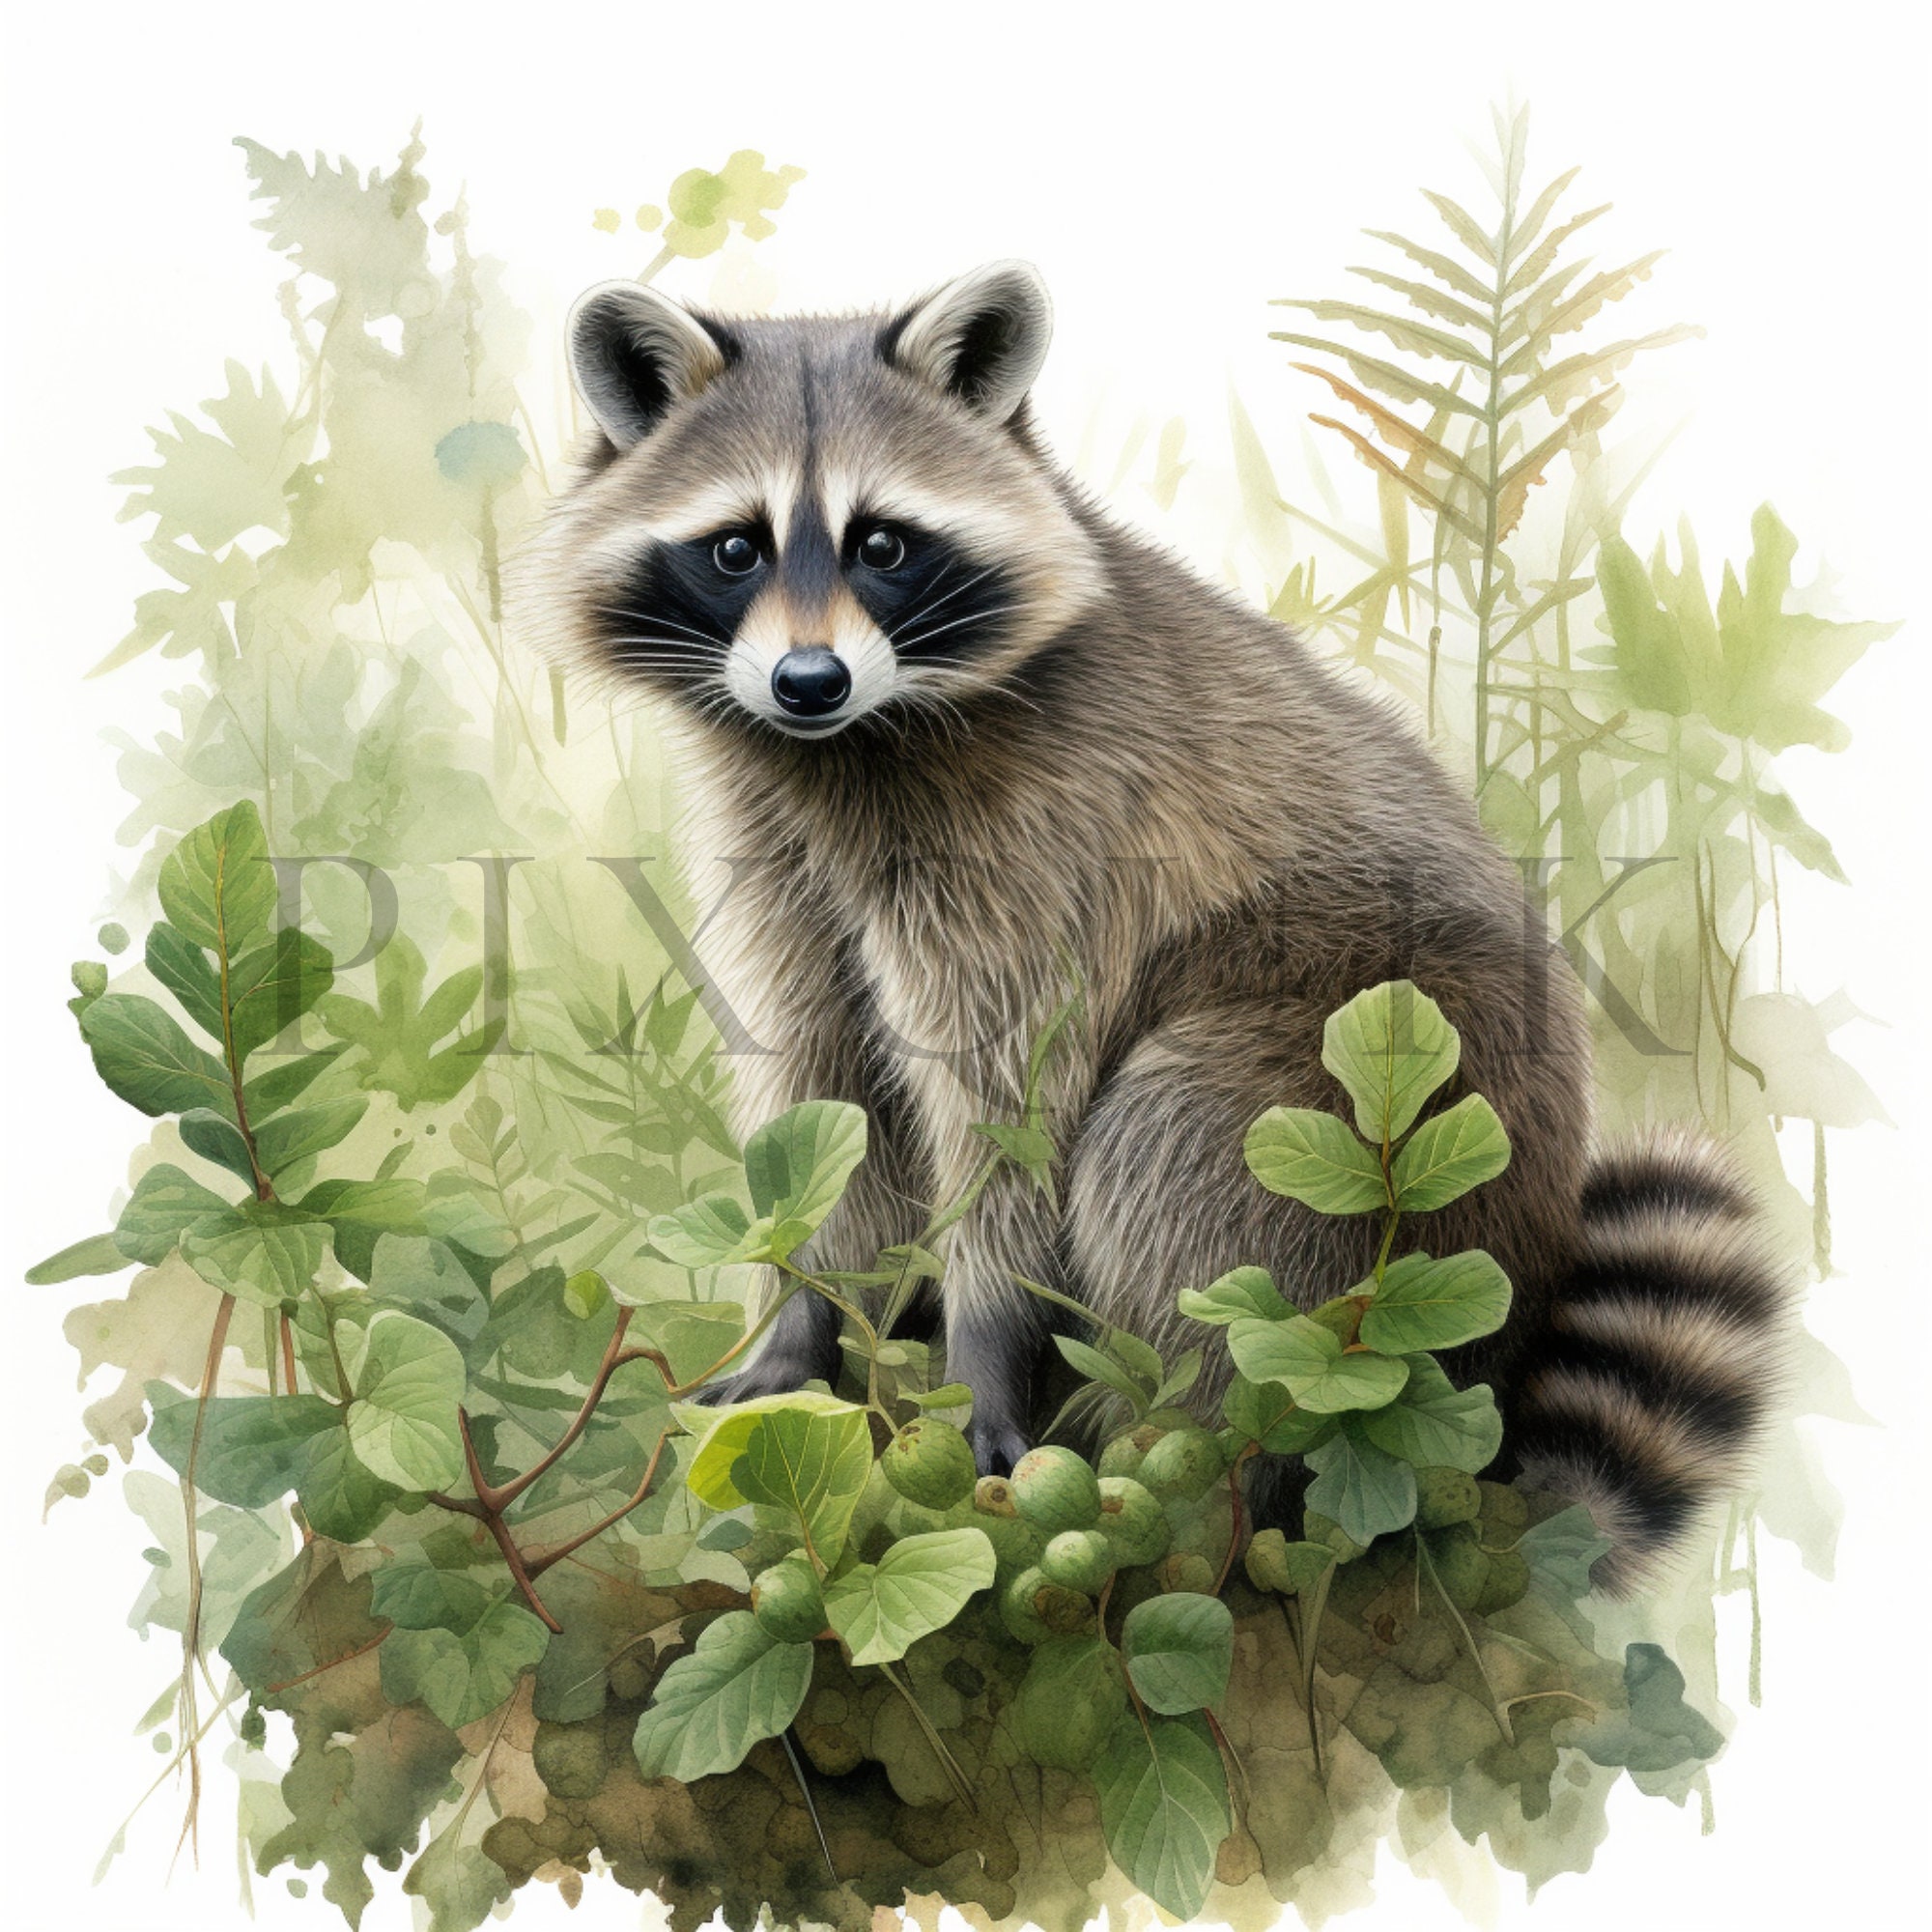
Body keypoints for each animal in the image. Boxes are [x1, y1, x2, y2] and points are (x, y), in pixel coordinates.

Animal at [528, 260, 1790, 1590]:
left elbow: (1012, 1108)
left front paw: (986, 1344)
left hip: (1342, 1082)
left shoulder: (1039, 850)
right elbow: (817, 1078)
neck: (845, 743)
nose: (807, 681)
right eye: (733, 547)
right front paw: (805, 1314)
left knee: (1164, 1149)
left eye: (882, 543)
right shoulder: (777, 845)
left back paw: (1186, 1435)